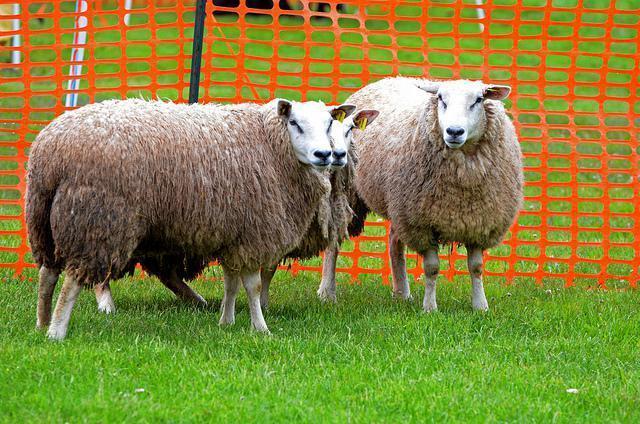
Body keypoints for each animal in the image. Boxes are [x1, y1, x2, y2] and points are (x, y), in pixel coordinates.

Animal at [26, 97, 356, 340]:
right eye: (294, 122)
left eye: (329, 122)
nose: (325, 154)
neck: (272, 145)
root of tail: (52, 149)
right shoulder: (253, 232)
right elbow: (252, 286)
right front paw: (261, 328)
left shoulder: (234, 233)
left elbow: (230, 282)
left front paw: (226, 321)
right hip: (97, 219)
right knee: (71, 281)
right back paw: (57, 332)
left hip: (44, 219)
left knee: (47, 274)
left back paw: (41, 323)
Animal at [257, 109, 380, 310]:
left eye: (350, 129)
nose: (338, 154)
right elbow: (268, 269)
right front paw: (263, 305)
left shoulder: (332, 218)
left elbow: (332, 252)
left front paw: (328, 295)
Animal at [345, 77, 523, 311]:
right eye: (440, 99)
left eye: (478, 100)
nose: (454, 131)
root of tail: (390, 78)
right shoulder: (422, 225)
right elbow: (432, 268)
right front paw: (430, 307)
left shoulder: (479, 223)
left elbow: (476, 267)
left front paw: (480, 306)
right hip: (355, 196)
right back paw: (327, 293)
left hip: (400, 208)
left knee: (394, 243)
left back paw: (402, 293)